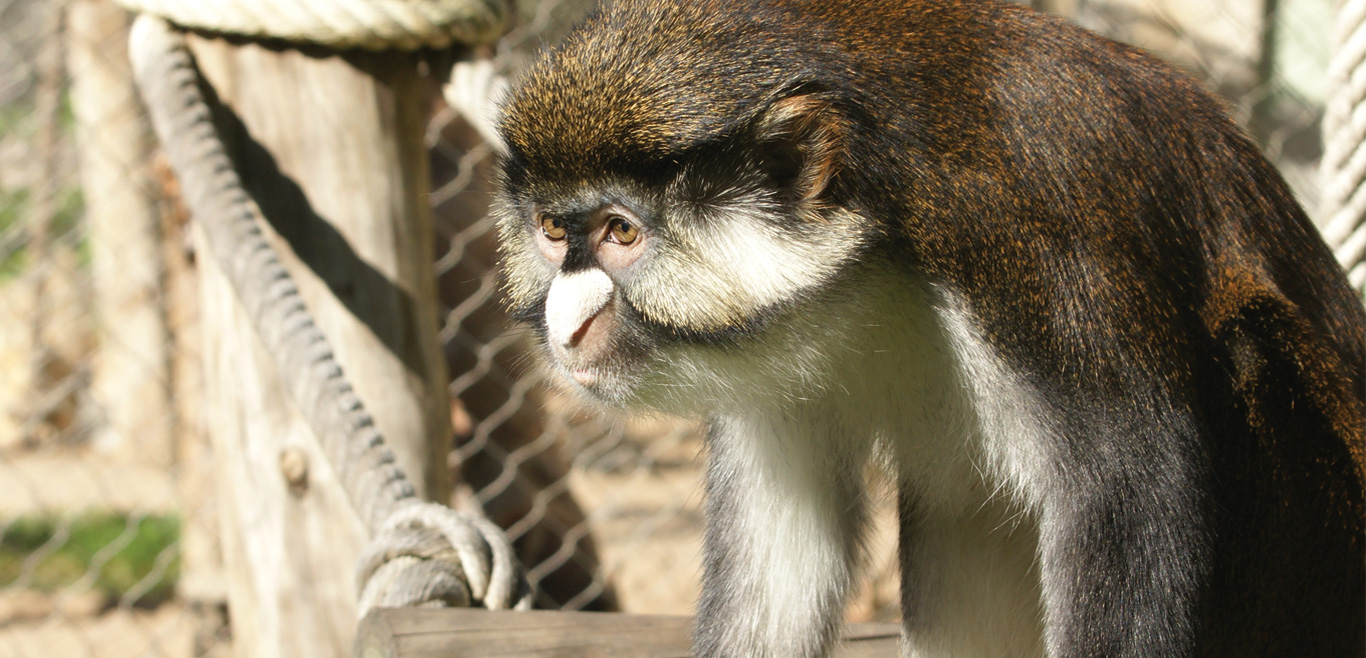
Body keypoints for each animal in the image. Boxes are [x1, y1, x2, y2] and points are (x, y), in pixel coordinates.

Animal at [493, 0, 1366, 656]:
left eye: (620, 233)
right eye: (552, 230)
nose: (567, 328)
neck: (875, 260)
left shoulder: (1027, 240)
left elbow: (1131, 486)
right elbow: (777, 571)